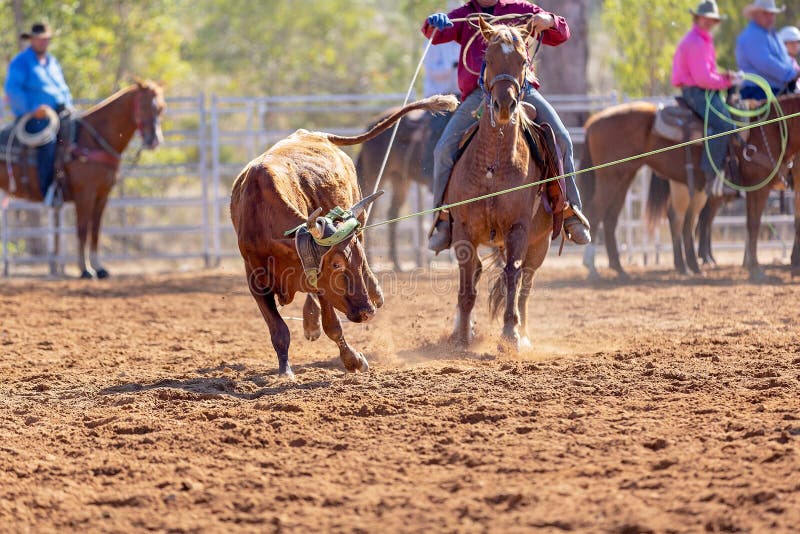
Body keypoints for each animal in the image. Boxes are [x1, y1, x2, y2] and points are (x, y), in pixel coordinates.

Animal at [231, 94, 458, 377]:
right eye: (337, 265)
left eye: (357, 262)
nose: (367, 312)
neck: (262, 214)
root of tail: (317, 135)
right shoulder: (256, 280)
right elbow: (279, 330)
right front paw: (285, 370)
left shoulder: (321, 280)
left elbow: (333, 325)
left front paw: (353, 360)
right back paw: (312, 321)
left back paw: (373, 294)